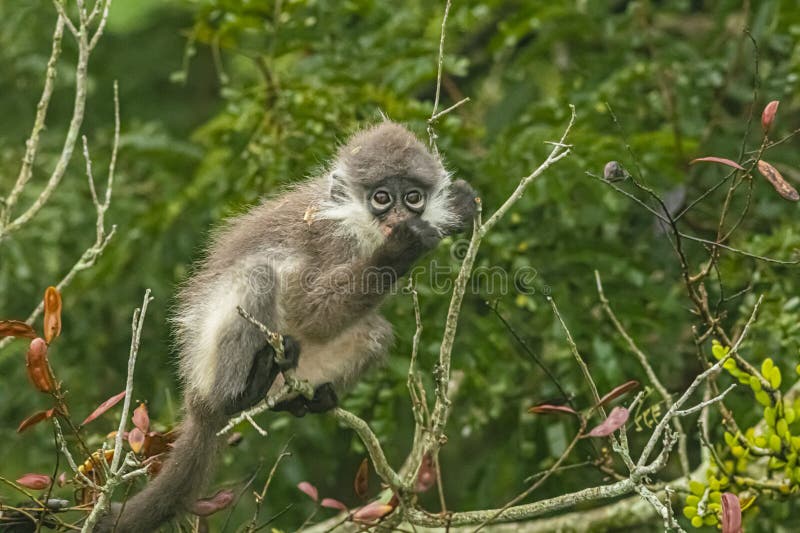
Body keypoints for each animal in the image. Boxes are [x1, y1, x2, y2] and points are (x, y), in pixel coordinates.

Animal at [96, 121, 477, 532]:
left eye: (412, 197)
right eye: (381, 198)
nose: (398, 218)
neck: (357, 226)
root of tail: (197, 399)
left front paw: (458, 208)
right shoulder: (333, 240)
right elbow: (306, 309)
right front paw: (403, 247)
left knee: (375, 332)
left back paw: (300, 400)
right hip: (210, 358)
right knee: (259, 273)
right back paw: (238, 396)